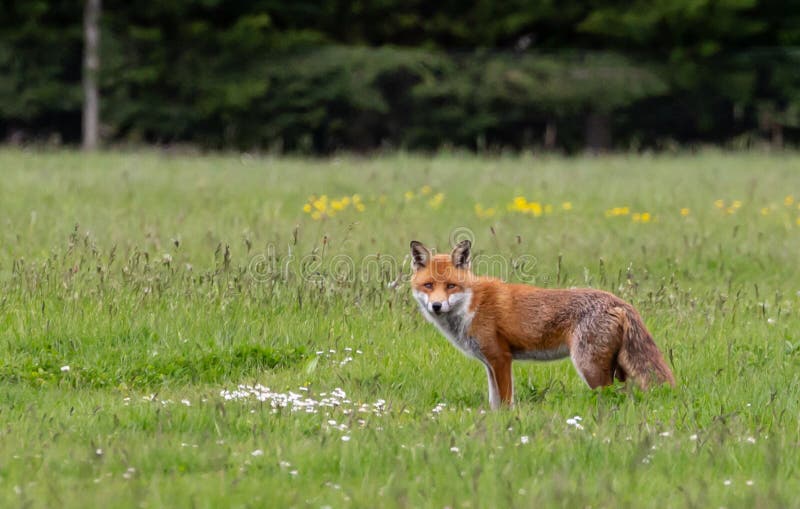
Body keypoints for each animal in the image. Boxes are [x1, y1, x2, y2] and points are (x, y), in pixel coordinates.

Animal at [410, 239, 675, 409]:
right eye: (429, 286)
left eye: (451, 286)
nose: (436, 306)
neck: (471, 305)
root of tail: (619, 301)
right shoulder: (489, 363)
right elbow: (494, 403)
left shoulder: (501, 358)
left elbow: (505, 403)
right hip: (617, 369)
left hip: (590, 367)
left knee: (610, 398)